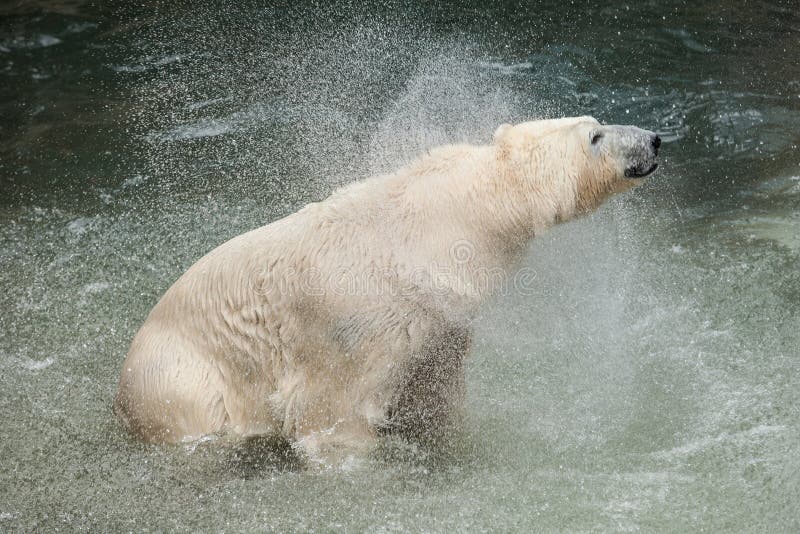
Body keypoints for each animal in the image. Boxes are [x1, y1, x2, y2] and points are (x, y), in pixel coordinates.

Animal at [114, 116, 660, 462]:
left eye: (598, 120)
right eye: (595, 134)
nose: (654, 139)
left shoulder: (437, 324)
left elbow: (431, 394)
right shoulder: (355, 329)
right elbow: (333, 415)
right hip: (186, 376)